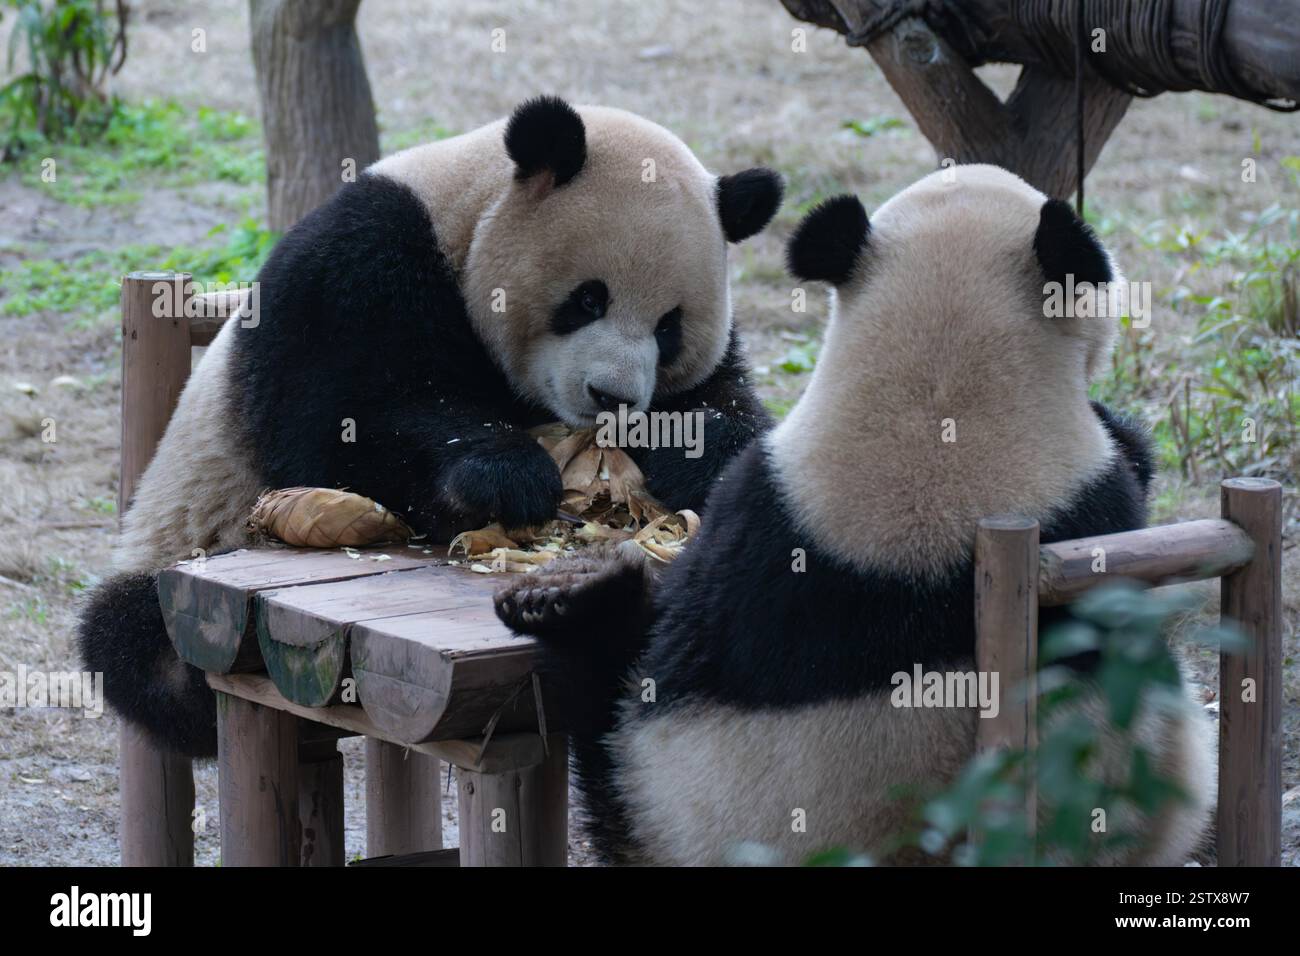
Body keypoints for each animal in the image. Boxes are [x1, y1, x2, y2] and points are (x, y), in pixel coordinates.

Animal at [77, 96, 783, 758]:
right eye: (589, 298)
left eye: (669, 327)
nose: (613, 398)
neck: (465, 217)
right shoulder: (359, 264)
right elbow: (335, 422)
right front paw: (505, 479)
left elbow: (728, 405)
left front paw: (681, 449)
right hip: (182, 541)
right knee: (138, 648)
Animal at [495, 164, 1216, 865]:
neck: (943, 401)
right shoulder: (1101, 520)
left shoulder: (748, 520)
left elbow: (666, 658)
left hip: (661, 808)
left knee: (609, 708)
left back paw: (576, 603)